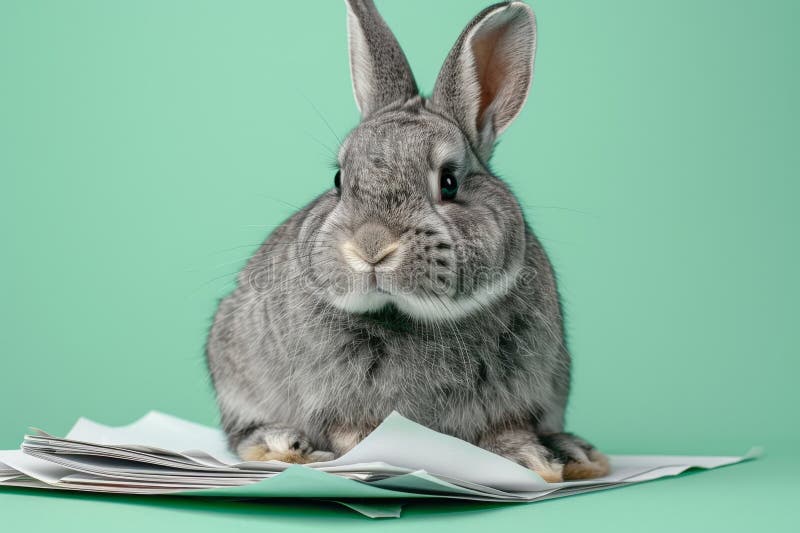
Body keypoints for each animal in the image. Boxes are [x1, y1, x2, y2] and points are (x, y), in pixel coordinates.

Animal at [206, 0, 609, 482]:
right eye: (339, 180)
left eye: (449, 182)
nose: (371, 246)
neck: (408, 315)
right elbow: (352, 430)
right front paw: (375, 452)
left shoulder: (518, 397)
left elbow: (506, 431)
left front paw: (531, 462)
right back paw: (285, 445)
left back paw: (577, 453)